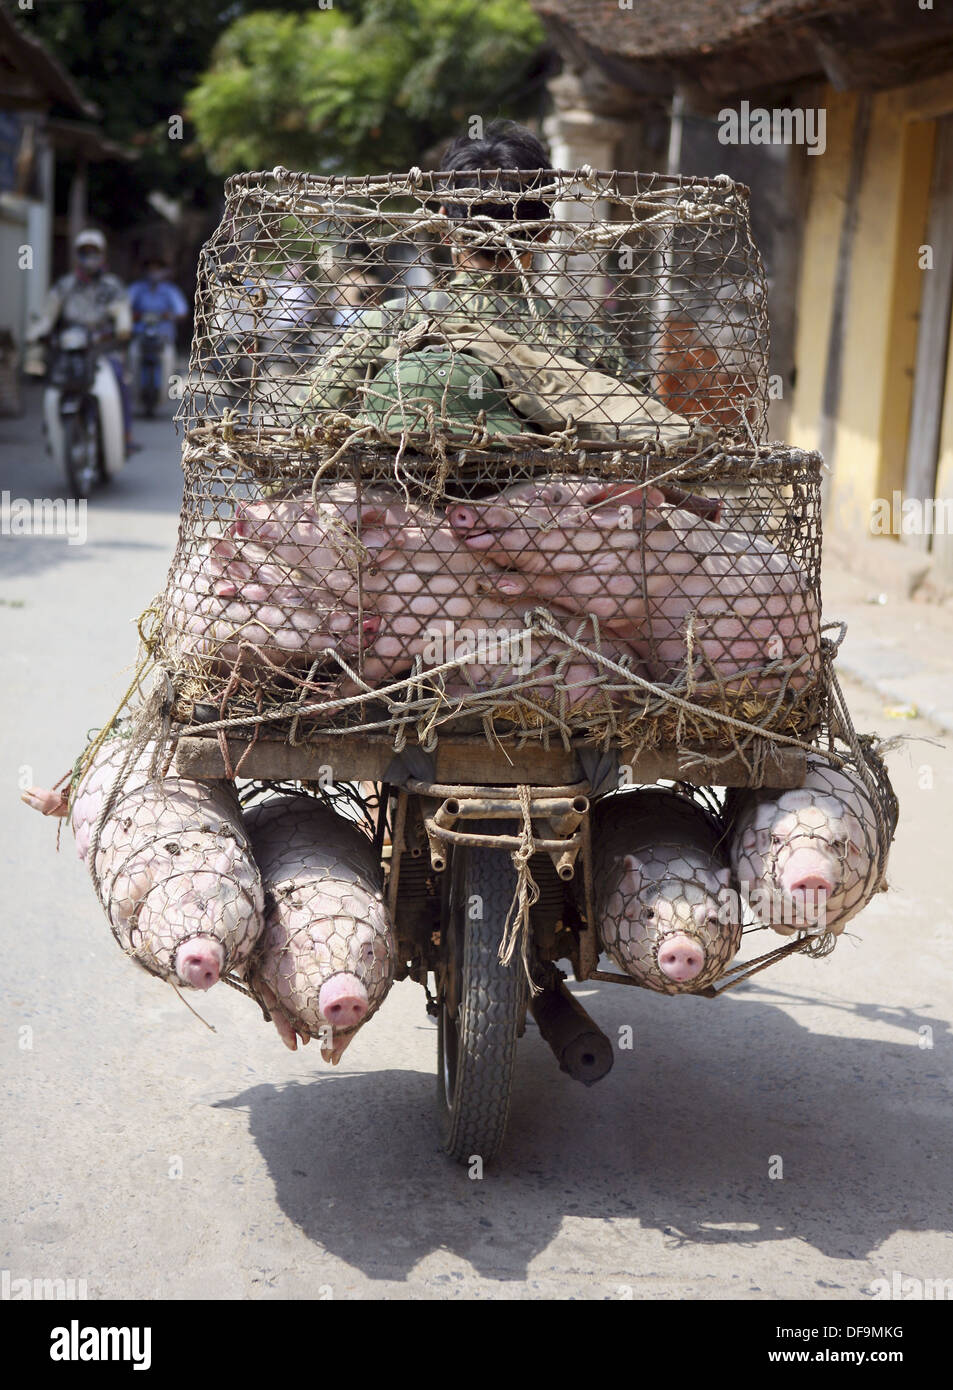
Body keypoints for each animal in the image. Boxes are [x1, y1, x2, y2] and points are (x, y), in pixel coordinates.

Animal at [22, 736, 264, 989]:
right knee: (67, 796)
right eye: (200, 905)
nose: (209, 962)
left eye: (233, 947)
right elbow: (124, 897)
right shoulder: (139, 868)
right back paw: (29, 796)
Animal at [243, 796, 396, 1063]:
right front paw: (298, 1042)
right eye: (312, 947)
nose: (347, 995)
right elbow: (272, 1003)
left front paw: (330, 1057)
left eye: (368, 951)